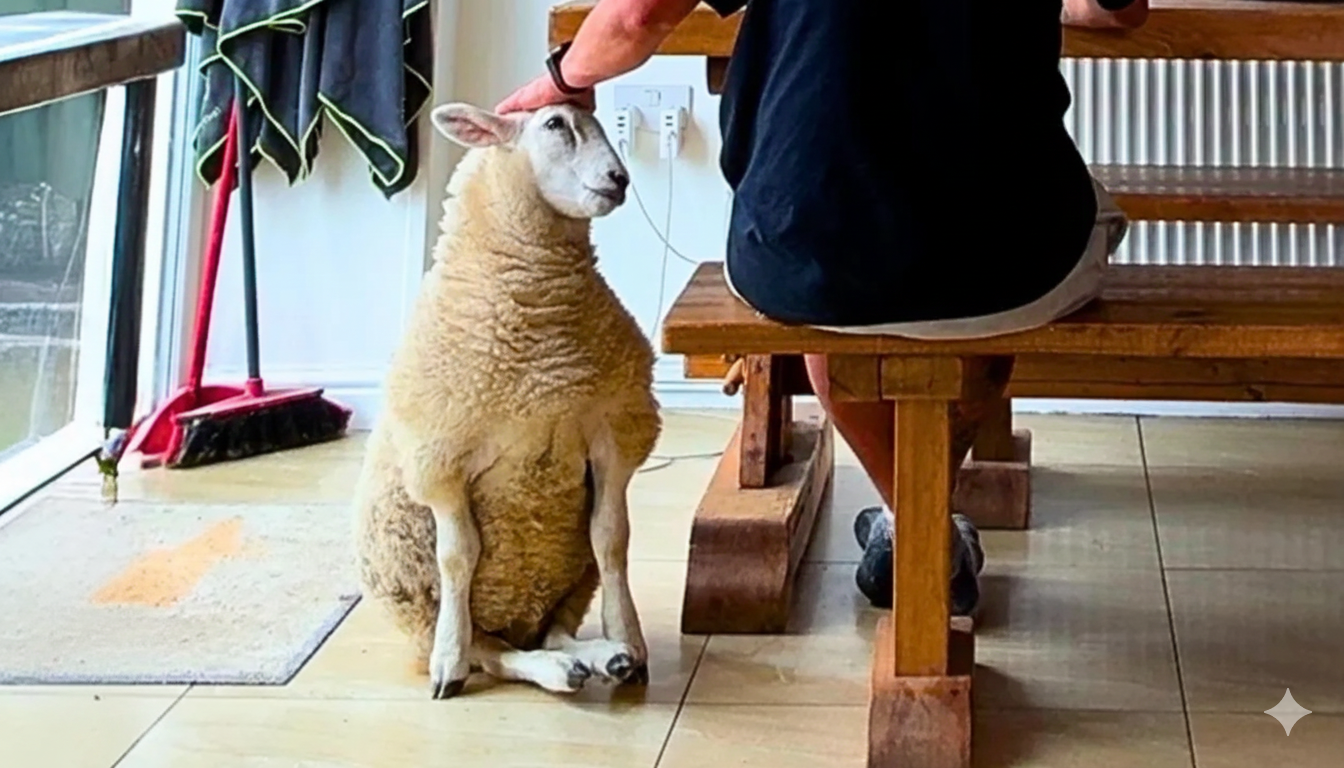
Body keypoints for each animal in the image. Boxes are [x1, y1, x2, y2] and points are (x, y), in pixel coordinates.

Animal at [352, 101, 662, 700]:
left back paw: (600, 656)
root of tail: (520, 622)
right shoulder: (440, 459)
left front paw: (630, 640)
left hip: (569, 583)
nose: (619, 180)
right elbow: (458, 559)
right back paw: (534, 667)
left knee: (552, 632)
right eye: (555, 125)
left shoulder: (613, 436)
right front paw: (448, 665)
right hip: (419, 605)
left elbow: (611, 540)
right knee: (494, 653)